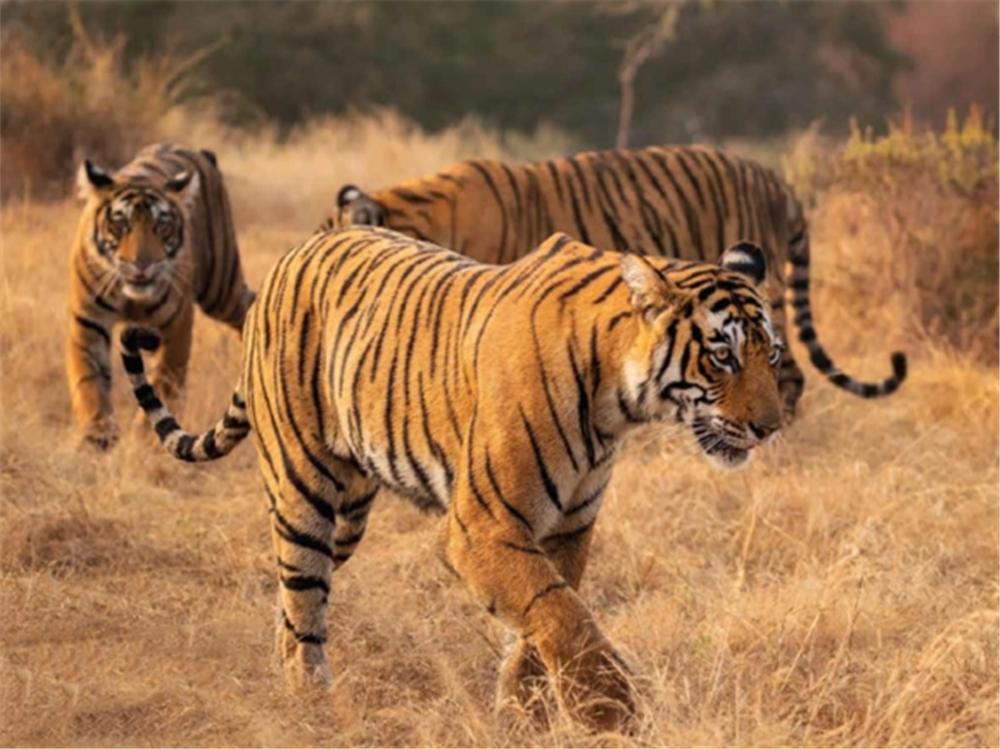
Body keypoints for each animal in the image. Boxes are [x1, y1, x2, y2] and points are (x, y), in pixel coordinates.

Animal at [68, 143, 255, 449]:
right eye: (121, 225)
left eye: (161, 227)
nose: (142, 264)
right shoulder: (88, 322)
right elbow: (88, 379)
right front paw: (99, 433)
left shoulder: (175, 326)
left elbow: (164, 382)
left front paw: (146, 439)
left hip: (219, 287)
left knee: (247, 305)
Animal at [121, 225, 786, 732]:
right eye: (722, 356)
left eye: (772, 354)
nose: (771, 427)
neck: (616, 403)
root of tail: (291, 256)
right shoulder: (481, 525)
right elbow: (566, 620)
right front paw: (612, 716)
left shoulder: (567, 528)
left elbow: (542, 620)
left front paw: (523, 714)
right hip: (304, 486)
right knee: (303, 594)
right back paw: (310, 699)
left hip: (348, 513)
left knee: (290, 589)